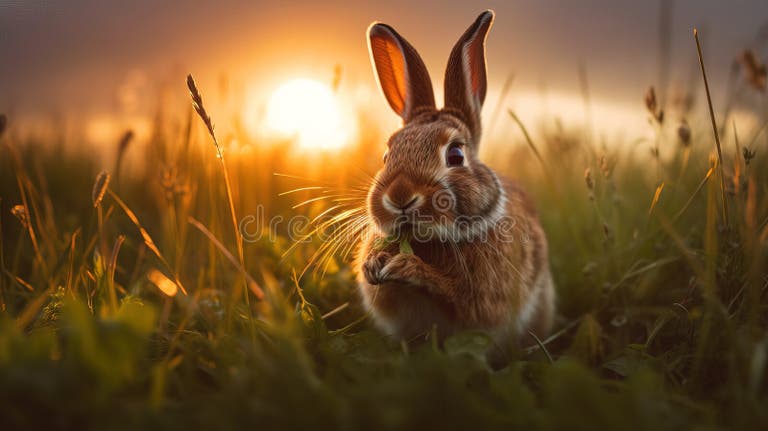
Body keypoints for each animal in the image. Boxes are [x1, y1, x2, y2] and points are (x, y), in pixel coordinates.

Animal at [356, 10, 555, 350]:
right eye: (387, 154)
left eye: (456, 155)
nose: (399, 197)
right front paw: (373, 264)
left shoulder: (483, 296)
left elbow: (459, 297)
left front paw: (407, 268)